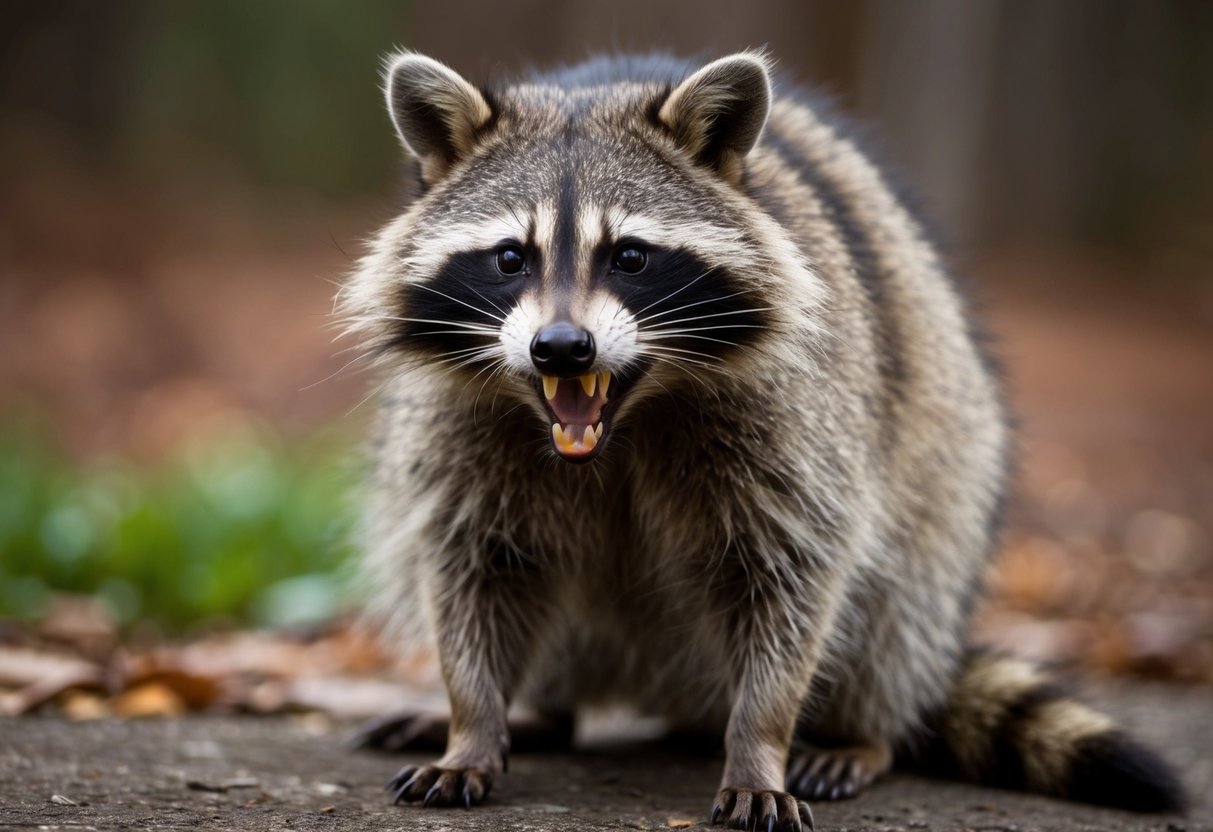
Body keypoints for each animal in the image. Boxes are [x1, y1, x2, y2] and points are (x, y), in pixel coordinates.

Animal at [338, 50, 1187, 828]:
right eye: (511, 257)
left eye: (630, 256)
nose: (561, 349)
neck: (625, 421)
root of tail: (667, 691)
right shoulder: (460, 434)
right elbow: (473, 572)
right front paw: (472, 722)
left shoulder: (800, 427)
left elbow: (791, 581)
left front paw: (759, 744)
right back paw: (542, 710)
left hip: (946, 461)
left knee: (897, 601)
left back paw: (858, 731)